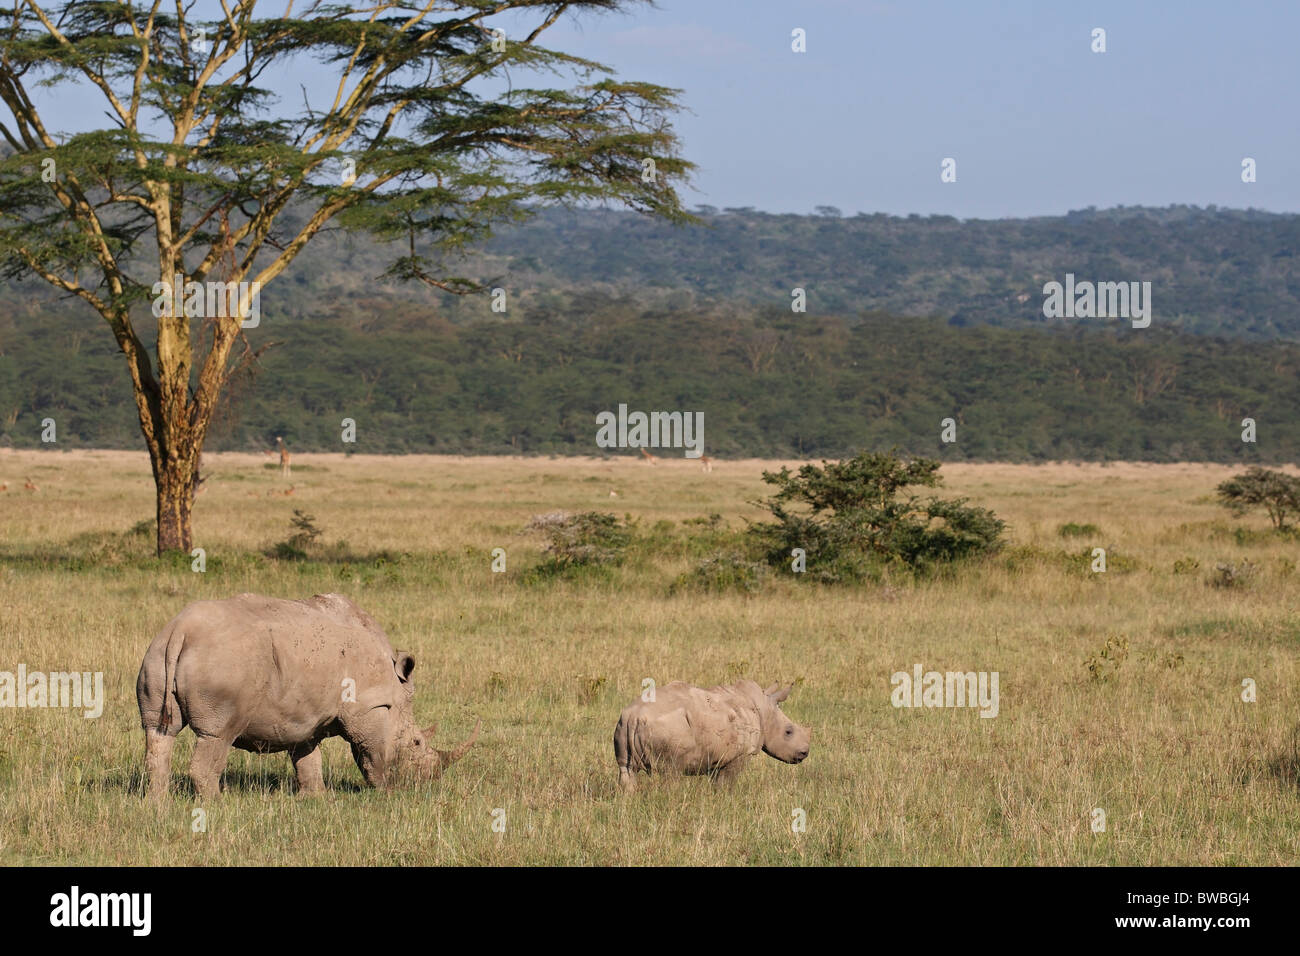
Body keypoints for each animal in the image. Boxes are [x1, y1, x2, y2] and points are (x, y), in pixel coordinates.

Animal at [136, 592, 479, 799]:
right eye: (417, 743)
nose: (423, 786)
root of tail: (181, 631)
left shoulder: (304, 715)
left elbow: (307, 755)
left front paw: (317, 798)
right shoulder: (368, 709)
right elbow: (372, 752)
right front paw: (385, 791)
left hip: (155, 652)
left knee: (158, 732)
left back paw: (158, 803)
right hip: (225, 663)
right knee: (218, 735)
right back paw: (216, 803)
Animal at [613, 680, 810, 791]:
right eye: (788, 731)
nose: (805, 753)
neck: (765, 710)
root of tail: (634, 717)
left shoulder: (720, 754)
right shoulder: (740, 755)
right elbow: (726, 784)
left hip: (622, 725)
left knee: (626, 771)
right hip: (667, 729)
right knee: (671, 773)